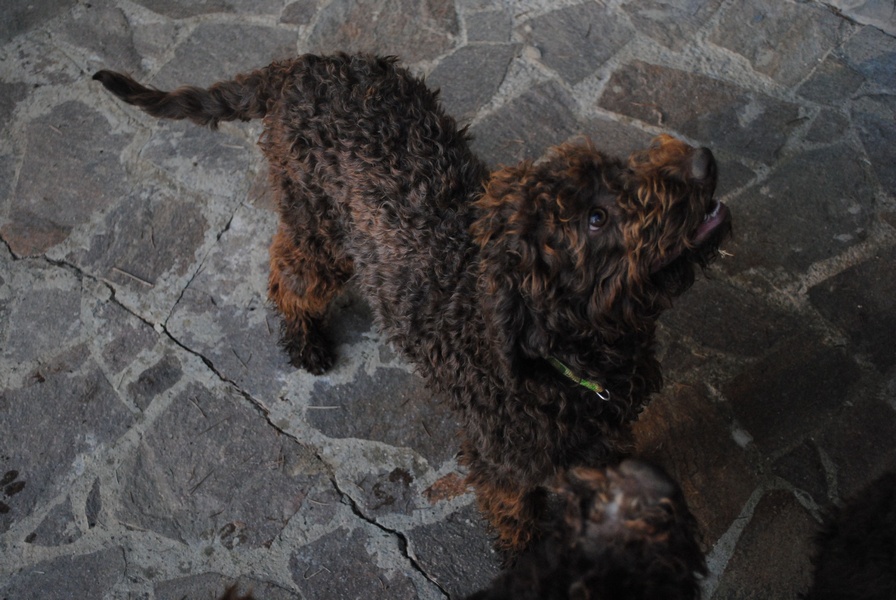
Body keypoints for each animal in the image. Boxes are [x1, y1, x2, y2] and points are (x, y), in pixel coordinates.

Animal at [93, 54, 728, 552]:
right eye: (595, 219)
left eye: (616, 169)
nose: (703, 160)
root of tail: (302, 65)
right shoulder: (502, 468)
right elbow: (519, 527)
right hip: (319, 228)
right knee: (286, 273)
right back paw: (303, 338)